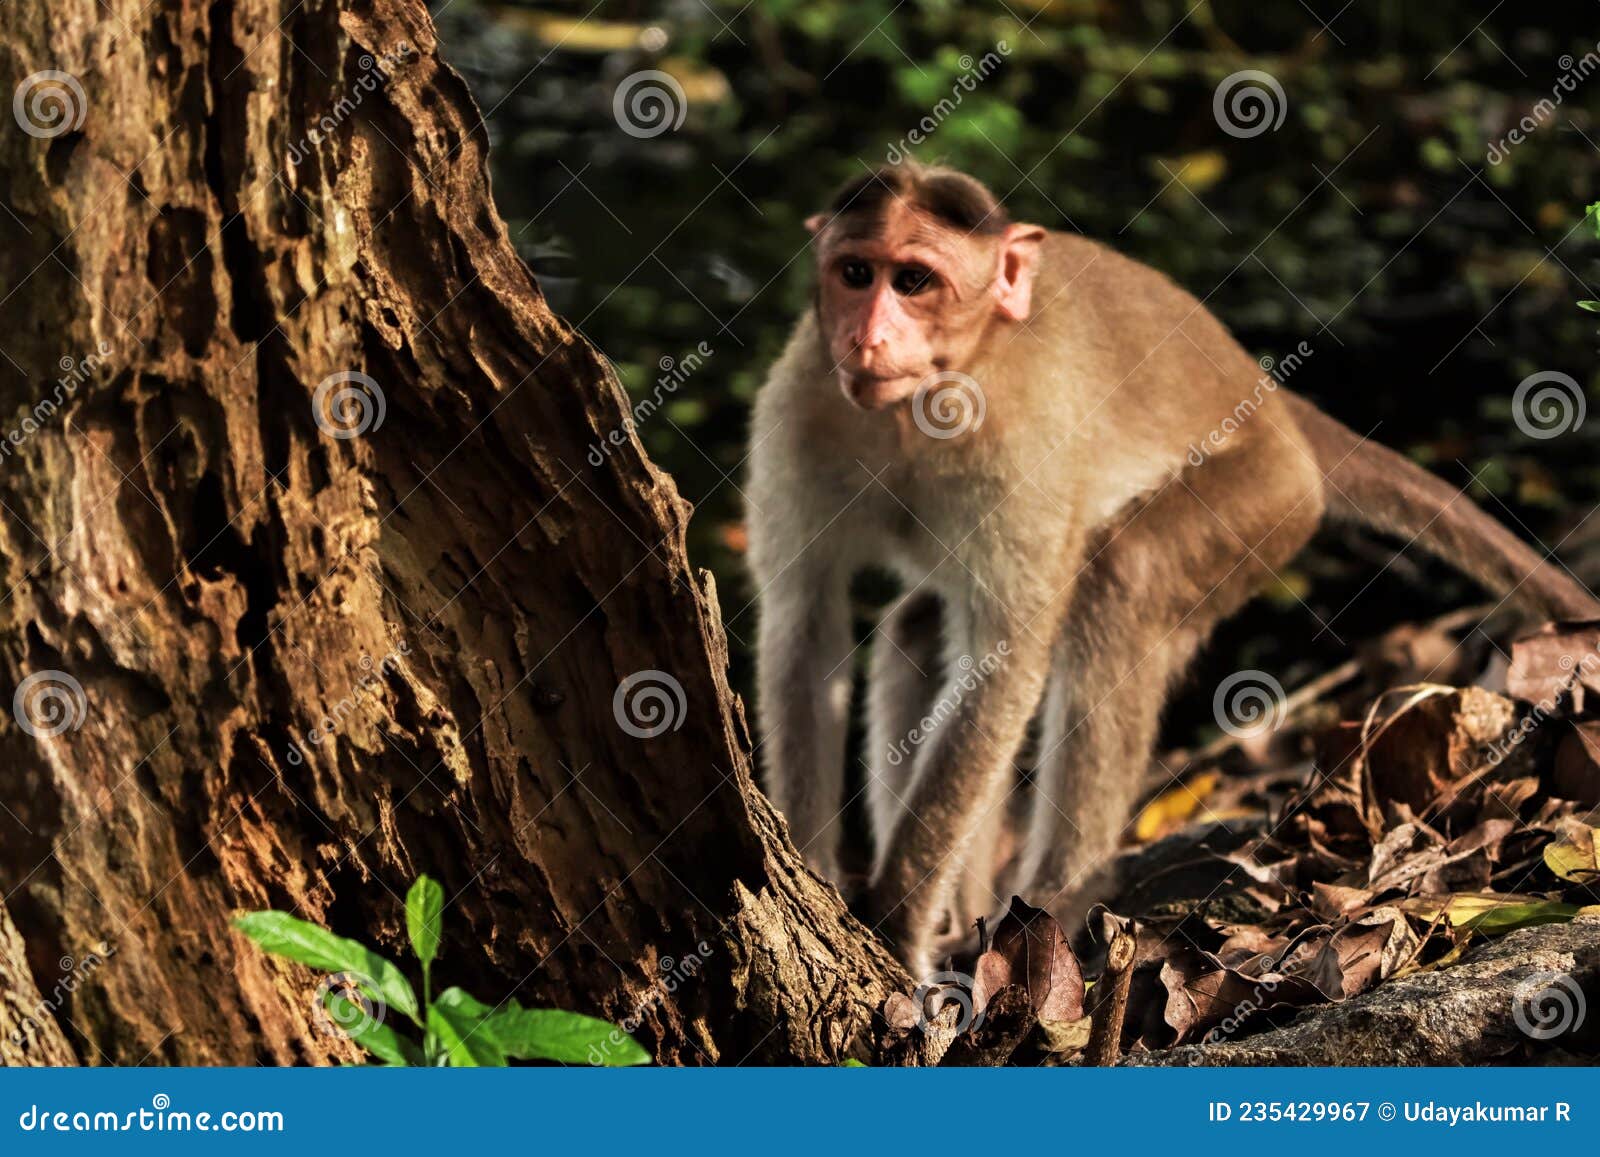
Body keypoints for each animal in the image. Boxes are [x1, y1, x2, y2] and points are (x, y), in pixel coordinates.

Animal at [744, 161, 1600, 976]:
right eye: (857, 273)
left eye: (915, 281)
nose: (868, 336)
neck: (913, 412)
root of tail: (1274, 402)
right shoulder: (799, 401)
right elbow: (805, 625)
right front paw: (810, 873)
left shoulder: (1017, 442)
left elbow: (1005, 659)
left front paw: (893, 926)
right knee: (918, 630)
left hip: (1267, 499)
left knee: (1121, 578)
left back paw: (1060, 893)